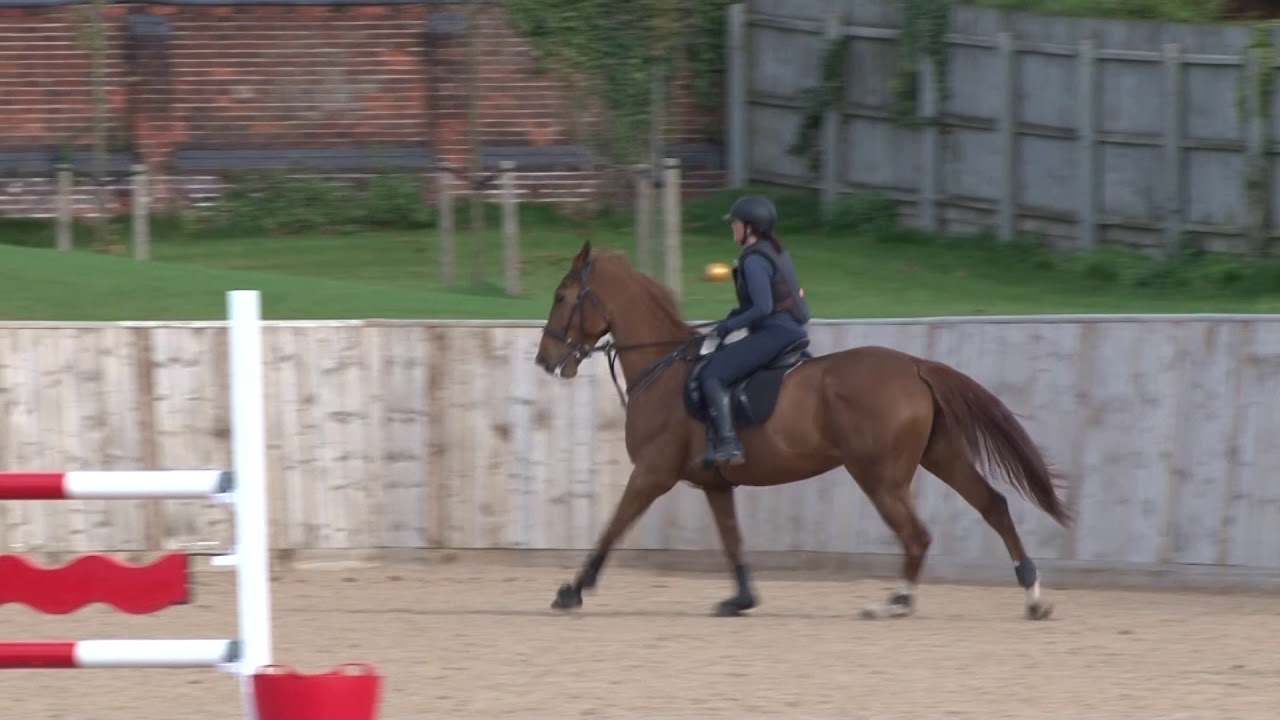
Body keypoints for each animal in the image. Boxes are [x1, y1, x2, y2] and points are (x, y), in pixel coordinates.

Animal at [533, 240, 1072, 620]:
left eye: (562, 296)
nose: (544, 360)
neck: (663, 369)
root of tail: (916, 366)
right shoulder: (714, 484)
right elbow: (732, 540)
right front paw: (742, 599)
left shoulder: (651, 473)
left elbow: (612, 527)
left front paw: (571, 590)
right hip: (939, 456)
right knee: (992, 506)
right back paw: (1033, 597)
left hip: (879, 475)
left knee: (917, 535)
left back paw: (895, 602)